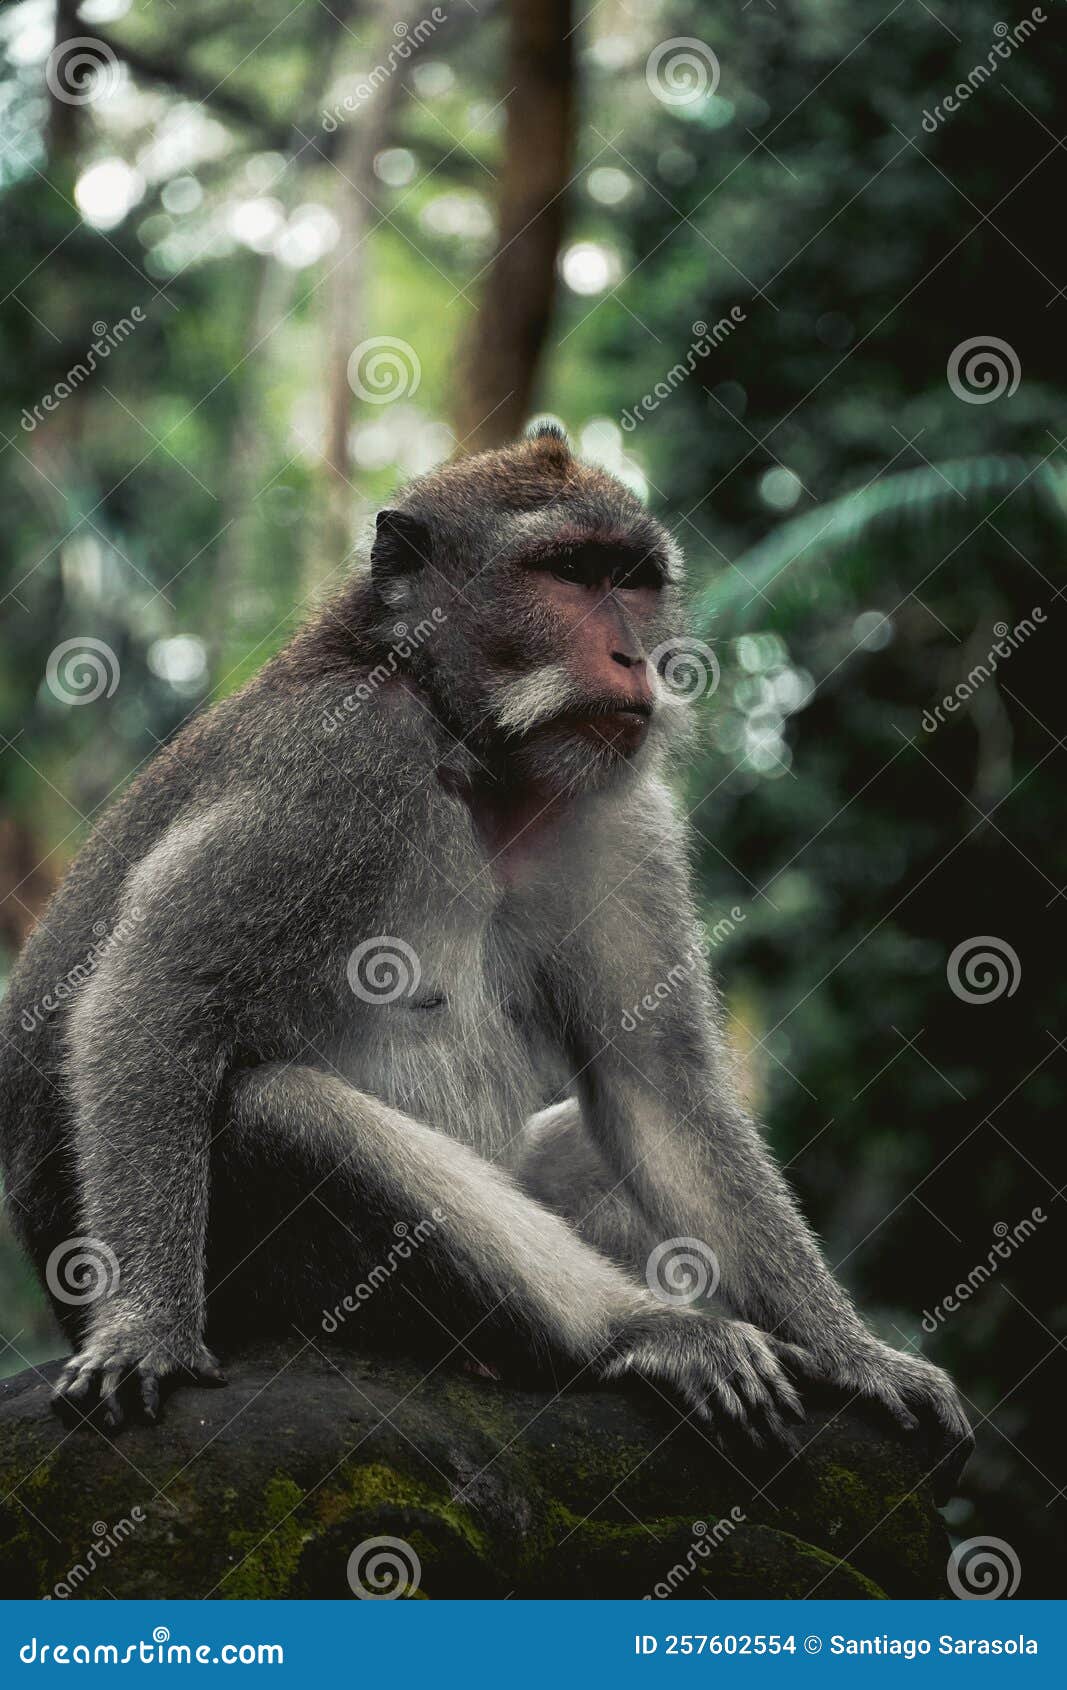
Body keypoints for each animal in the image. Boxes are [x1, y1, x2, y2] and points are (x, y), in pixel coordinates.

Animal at [0, 425, 972, 1491]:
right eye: (566, 573)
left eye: (632, 580)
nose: (636, 657)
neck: (474, 751)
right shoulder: (337, 766)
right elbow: (156, 1004)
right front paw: (148, 1331)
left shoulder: (620, 814)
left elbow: (654, 1084)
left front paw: (852, 1352)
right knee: (285, 1108)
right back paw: (636, 1333)